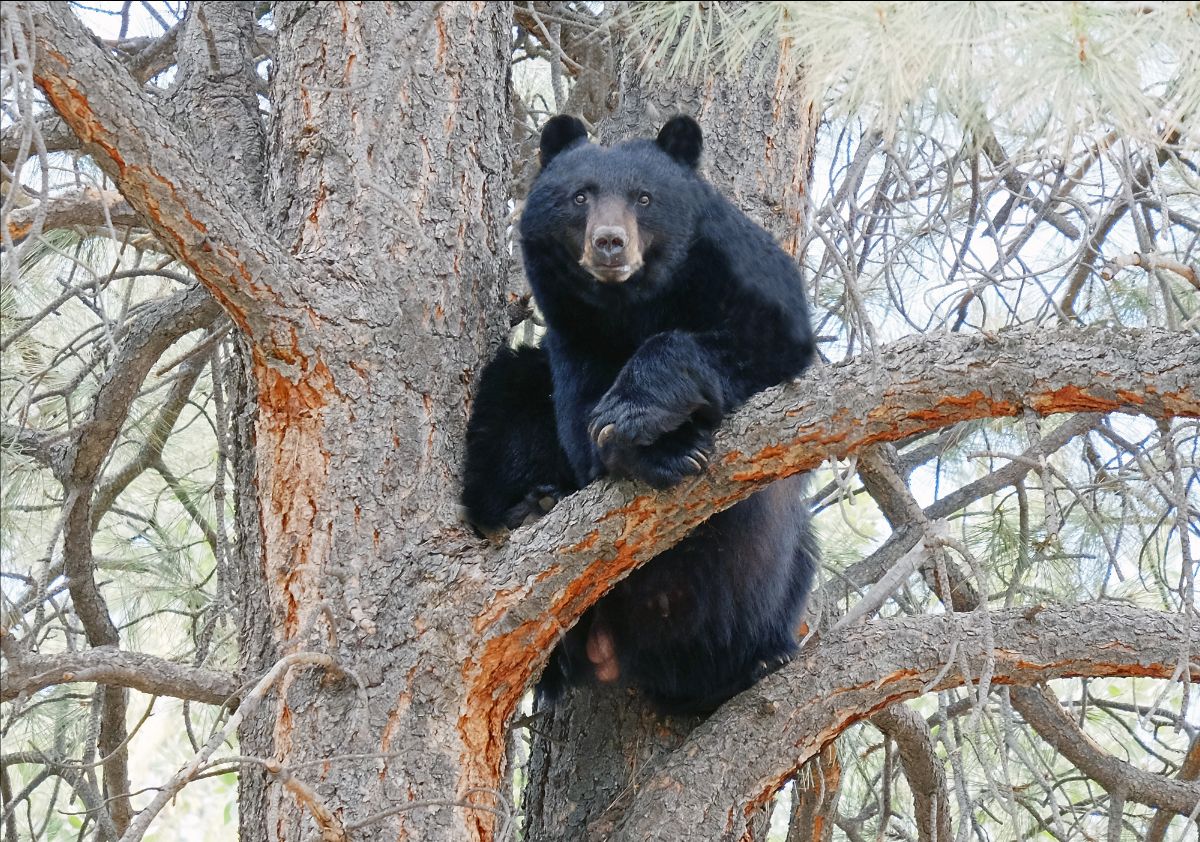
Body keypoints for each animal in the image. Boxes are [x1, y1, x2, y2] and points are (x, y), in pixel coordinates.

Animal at [462, 114, 818, 714]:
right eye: (580, 196)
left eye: (644, 197)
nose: (609, 243)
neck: (632, 306)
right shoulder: (574, 338)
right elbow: (581, 432)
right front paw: (654, 449)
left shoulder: (742, 271)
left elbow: (770, 343)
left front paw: (639, 412)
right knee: (506, 394)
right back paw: (526, 507)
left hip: (765, 583)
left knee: (791, 559)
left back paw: (759, 659)